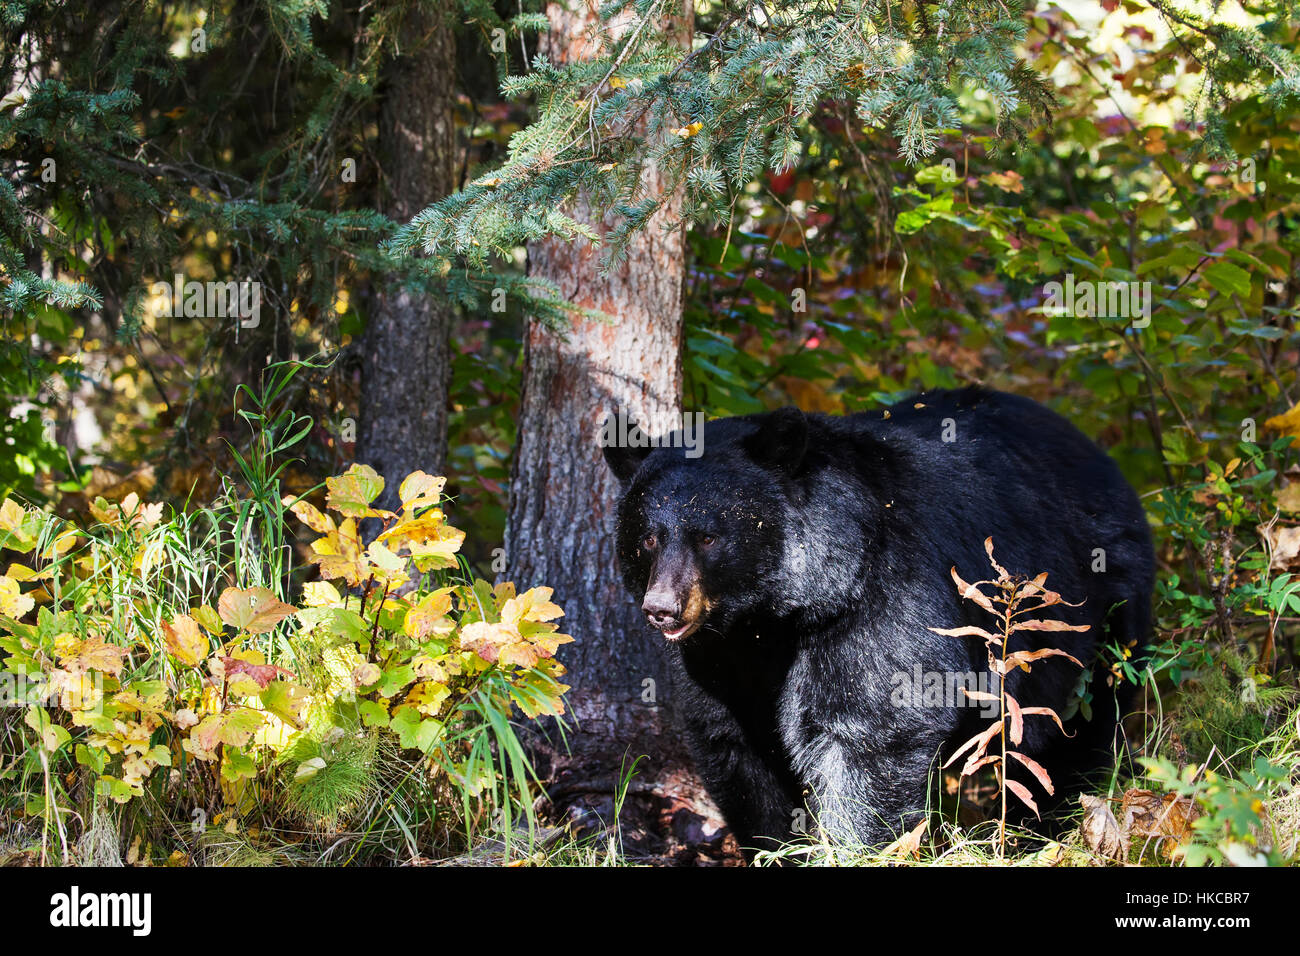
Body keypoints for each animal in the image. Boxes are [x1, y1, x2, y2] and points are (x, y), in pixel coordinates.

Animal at [602, 386, 1154, 856]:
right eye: (648, 537)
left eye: (709, 536)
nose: (662, 608)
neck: (772, 617)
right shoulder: (721, 657)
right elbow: (733, 745)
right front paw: (778, 848)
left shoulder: (880, 598)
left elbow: (874, 730)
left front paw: (856, 847)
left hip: (1096, 610)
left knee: (1071, 725)